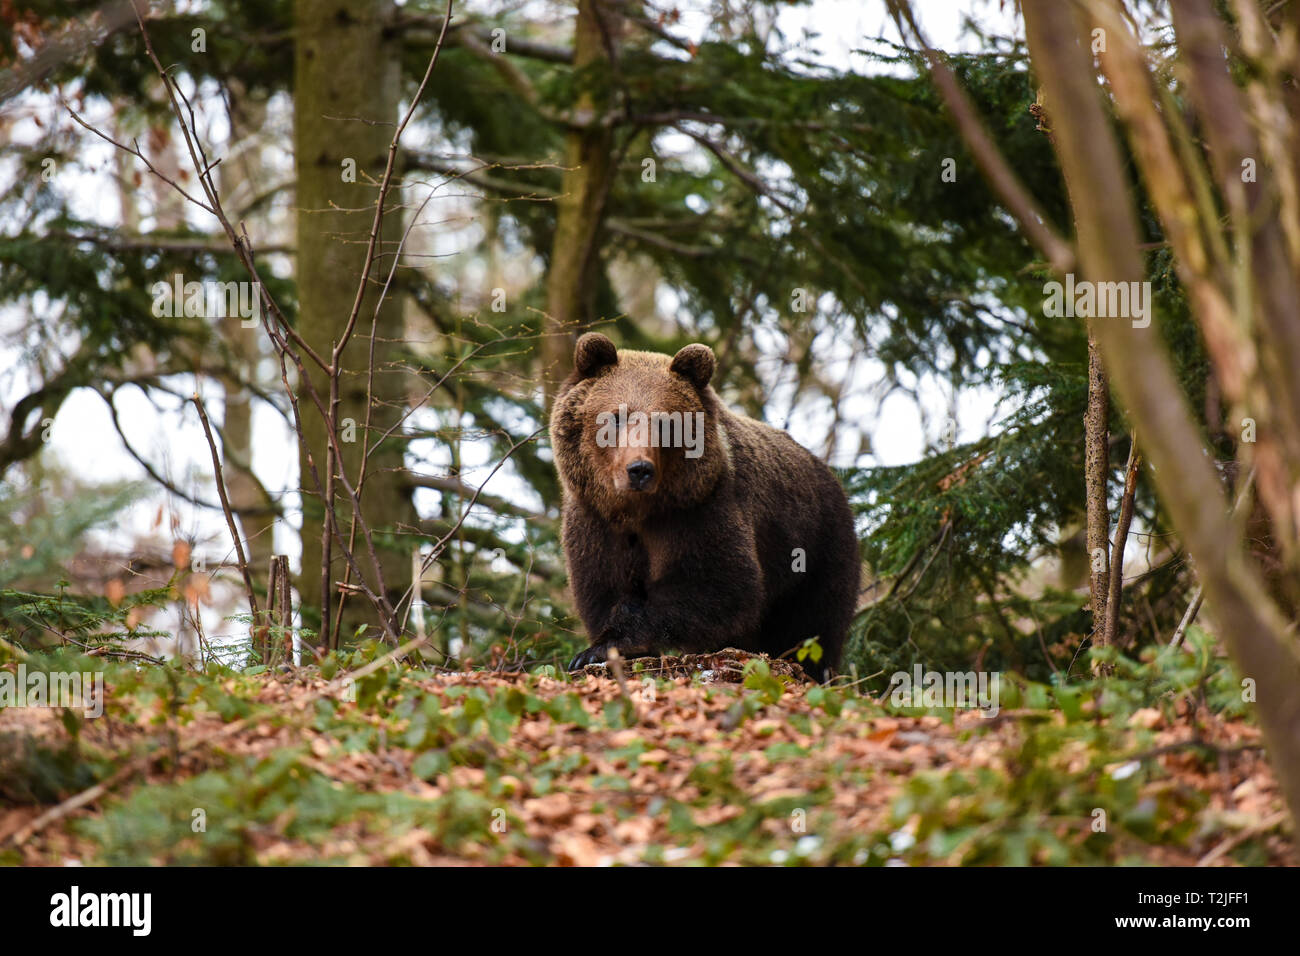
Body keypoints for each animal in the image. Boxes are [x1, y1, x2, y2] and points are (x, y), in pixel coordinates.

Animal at [549, 332, 860, 681]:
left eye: (666, 423)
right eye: (616, 417)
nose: (640, 469)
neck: (639, 512)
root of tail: (830, 476)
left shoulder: (700, 510)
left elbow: (718, 585)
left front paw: (610, 643)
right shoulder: (594, 520)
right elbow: (603, 587)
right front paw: (594, 650)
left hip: (817, 549)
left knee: (811, 625)